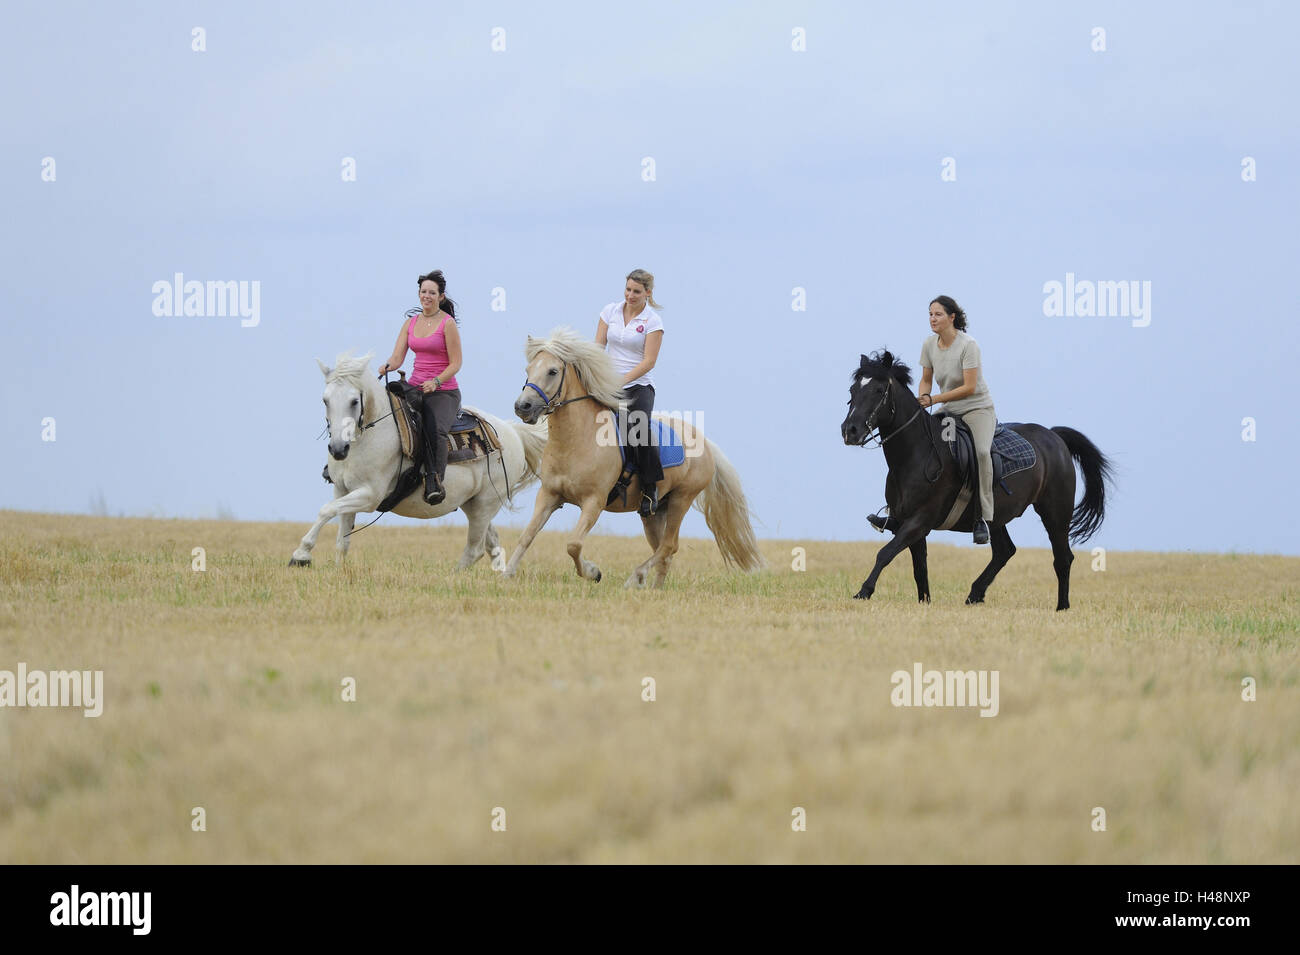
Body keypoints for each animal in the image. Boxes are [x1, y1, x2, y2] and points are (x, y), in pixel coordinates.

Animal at [289, 351, 547, 570]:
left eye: (354, 401)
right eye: (325, 400)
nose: (338, 449)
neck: (370, 436)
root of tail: (513, 433)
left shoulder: (369, 496)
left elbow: (325, 510)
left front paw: (301, 555)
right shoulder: (343, 490)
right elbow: (342, 538)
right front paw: (338, 570)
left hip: (485, 504)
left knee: (475, 549)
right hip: (473, 503)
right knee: (491, 543)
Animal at [504, 327, 764, 588]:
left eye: (553, 371)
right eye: (528, 369)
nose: (522, 407)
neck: (577, 440)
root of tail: (706, 443)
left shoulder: (594, 502)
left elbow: (573, 545)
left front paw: (593, 572)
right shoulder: (549, 495)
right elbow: (527, 535)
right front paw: (507, 573)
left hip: (682, 499)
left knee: (668, 546)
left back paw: (635, 579)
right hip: (655, 512)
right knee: (664, 551)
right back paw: (654, 589)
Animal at [840, 350, 1114, 610]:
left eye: (878, 390)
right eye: (853, 390)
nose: (849, 430)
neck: (916, 454)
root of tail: (1054, 437)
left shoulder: (921, 520)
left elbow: (885, 553)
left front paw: (863, 592)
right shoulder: (906, 522)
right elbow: (919, 568)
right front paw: (924, 602)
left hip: (1055, 512)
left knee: (1062, 558)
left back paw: (1062, 607)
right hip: (996, 515)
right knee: (1005, 551)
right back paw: (975, 594)